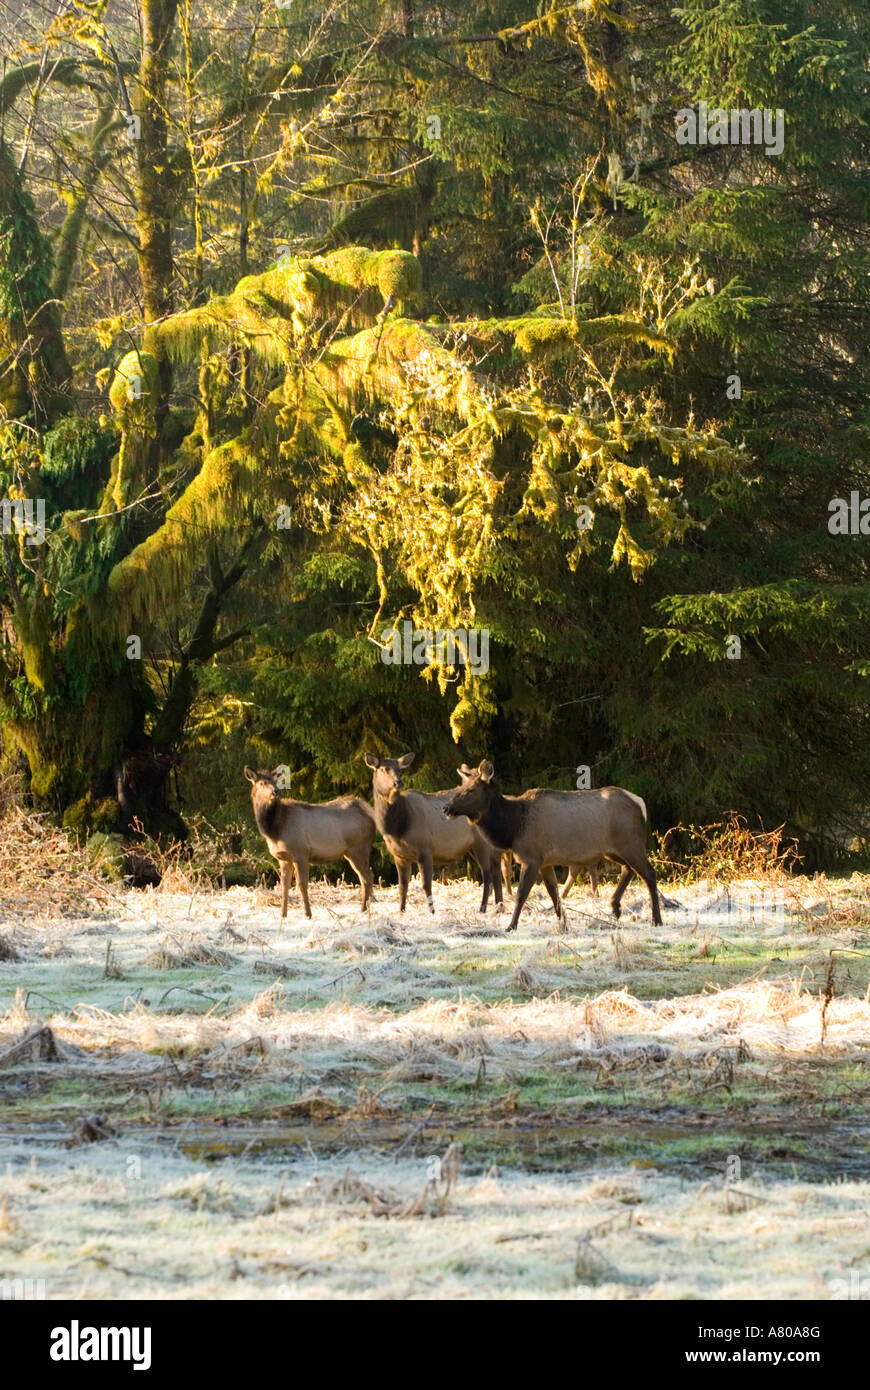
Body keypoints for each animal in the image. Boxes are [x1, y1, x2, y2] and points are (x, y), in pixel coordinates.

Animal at [244, 767, 375, 919]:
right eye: (261, 783)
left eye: (275, 781)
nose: (275, 792)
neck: (274, 830)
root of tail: (369, 811)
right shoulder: (283, 858)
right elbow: (284, 886)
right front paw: (283, 915)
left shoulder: (300, 853)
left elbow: (302, 885)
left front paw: (308, 914)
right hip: (350, 852)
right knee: (366, 876)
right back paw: (366, 908)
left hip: (359, 848)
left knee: (367, 877)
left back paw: (364, 909)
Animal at [364, 752, 504, 914]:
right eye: (383, 769)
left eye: (400, 769)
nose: (397, 782)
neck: (397, 827)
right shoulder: (399, 856)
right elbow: (402, 887)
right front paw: (401, 912)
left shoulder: (425, 848)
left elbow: (426, 885)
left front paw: (432, 912)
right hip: (479, 847)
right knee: (496, 871)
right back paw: (499, 907)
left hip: (481, 843)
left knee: (487, 875)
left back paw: (483, 908)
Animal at [445, 761, 661, 932]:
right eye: (460, 787)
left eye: (471, 790)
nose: (446, 808)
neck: (513, 827)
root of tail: (641, 804)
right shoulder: (545, 862)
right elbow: (554, 894)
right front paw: (563, 923)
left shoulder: (532, 857)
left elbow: (522, 894)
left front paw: (511, 926)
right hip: (613, 850)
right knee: (629, 869)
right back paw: (615, 907)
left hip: (631, 843)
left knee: (649, 873)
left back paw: (656, 919)